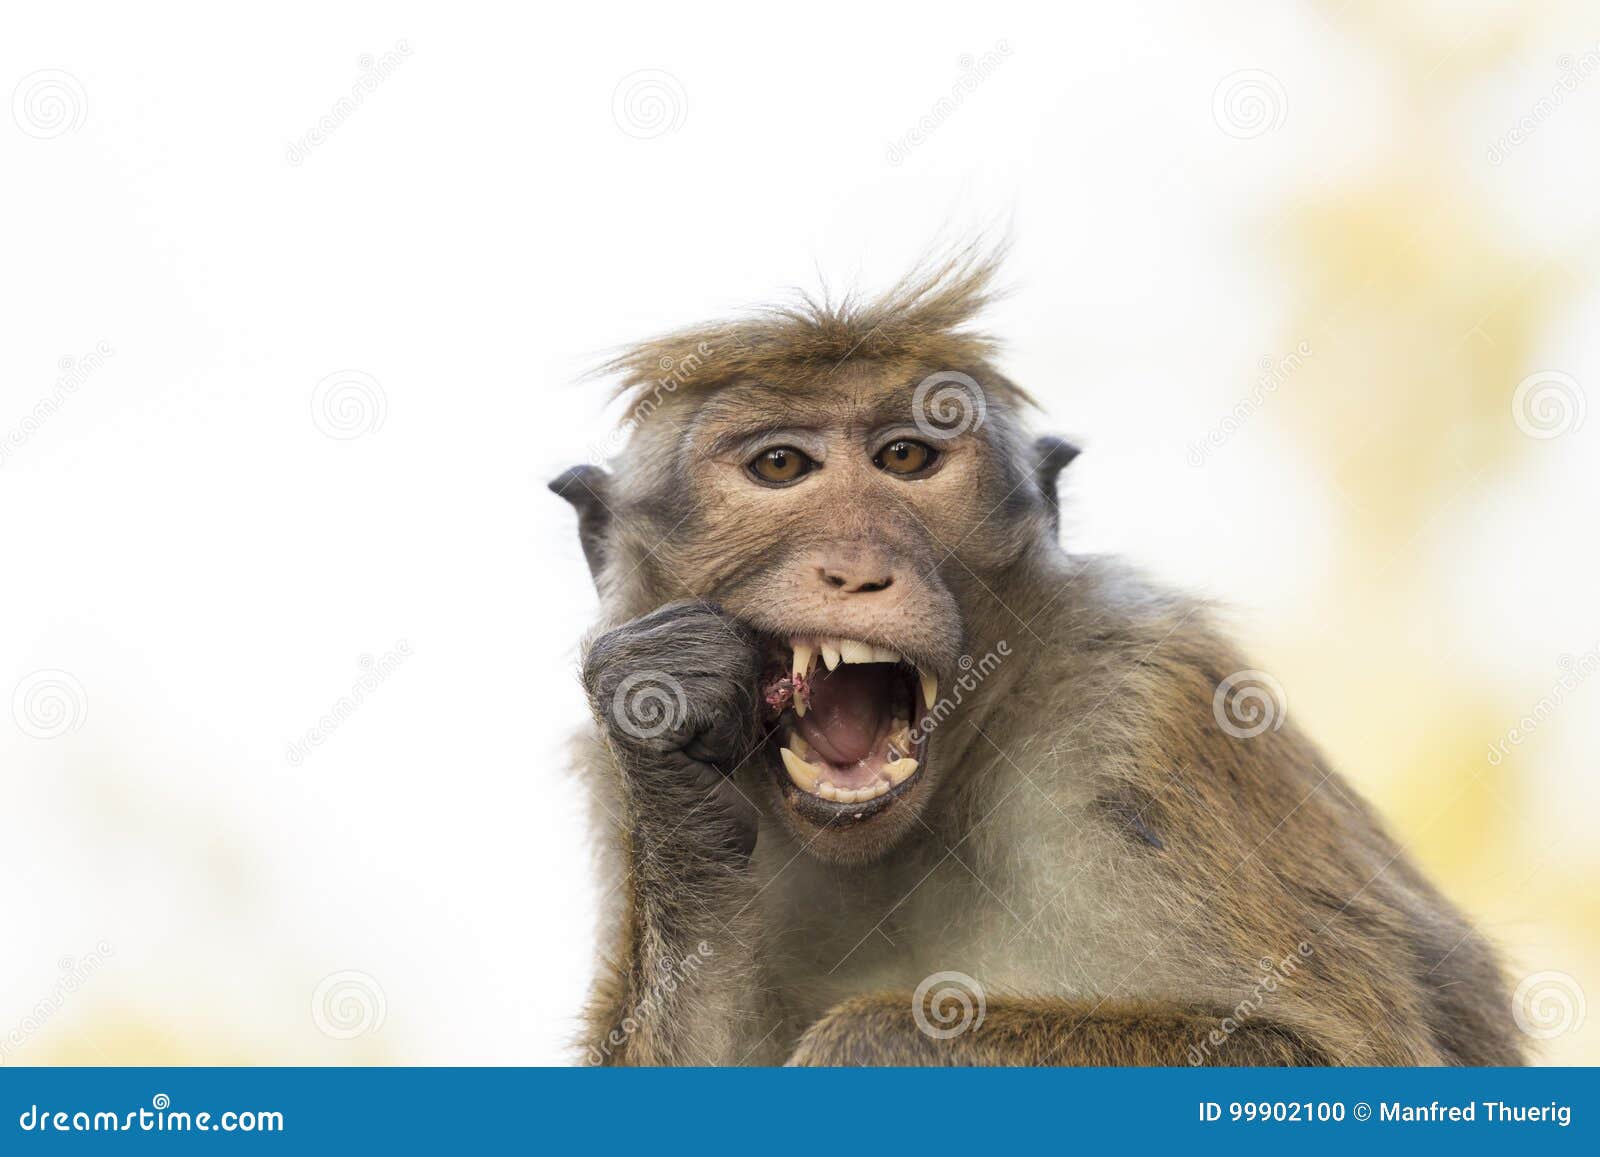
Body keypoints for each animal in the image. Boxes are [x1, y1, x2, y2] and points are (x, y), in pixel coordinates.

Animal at [551, 247, 1523, 1067]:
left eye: (905, 455)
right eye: (782, 465)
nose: (858, 569)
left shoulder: (1142, 716)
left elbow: (1337, 1053)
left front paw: (873, 1045)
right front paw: (675, 751)